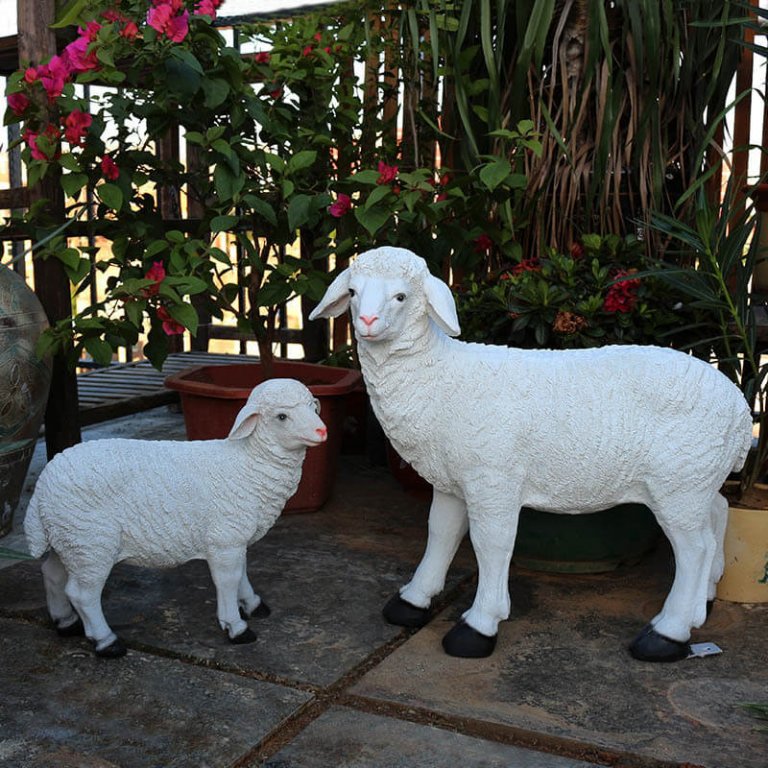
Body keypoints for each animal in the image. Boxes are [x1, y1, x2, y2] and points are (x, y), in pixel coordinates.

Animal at [23, 378, 327, 658]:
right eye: (282, 416)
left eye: (314, 407)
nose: (322, 431)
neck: (246, 463)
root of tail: (42, 486)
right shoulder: (225, 538)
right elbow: (227, 580)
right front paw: (236, 627)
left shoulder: (232, 537)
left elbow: (241, 572)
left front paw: (252, 604)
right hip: (92, 541)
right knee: (82, 593)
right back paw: (106, 642)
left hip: (70, 536)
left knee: (52, 573)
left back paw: (65, 623)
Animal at [310, 246, 753, 662]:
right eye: (353, 292)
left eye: (401, 296)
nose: (368, 323)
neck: (439, 376)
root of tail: (741, 411)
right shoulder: (453, 479)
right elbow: (441, 532)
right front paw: (413, 600)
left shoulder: (493, 476)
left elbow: (491, 543)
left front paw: (480, 624)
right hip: (695, 474)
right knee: (718, 516)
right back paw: (702, 604)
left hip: (678, 480)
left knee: (694, 549)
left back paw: (667, 633)